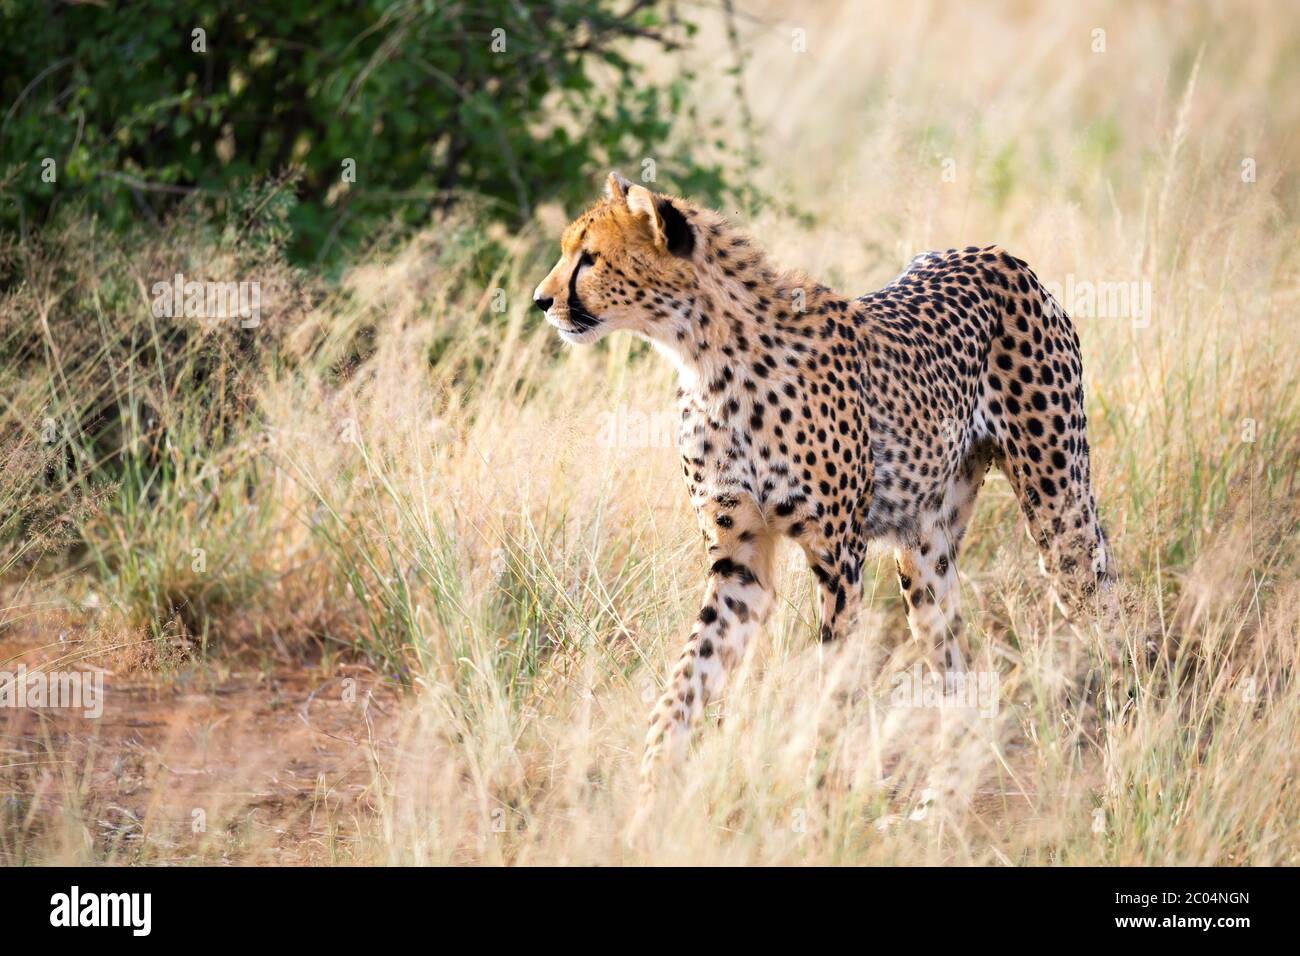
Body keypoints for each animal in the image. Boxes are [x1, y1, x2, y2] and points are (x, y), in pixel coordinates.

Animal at [532, 172, 1113, 798]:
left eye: (590, 258)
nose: (541, 301)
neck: (706, 357)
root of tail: (997, 254)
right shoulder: (739, 563)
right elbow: (689, 674)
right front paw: (653, 780)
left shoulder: (838, 555)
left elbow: (831, 681)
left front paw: (814, 786)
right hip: (924, 555)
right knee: (959, 666)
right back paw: (940, 793)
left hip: (1059, 508)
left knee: (1102, 605)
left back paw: (1124, 725)